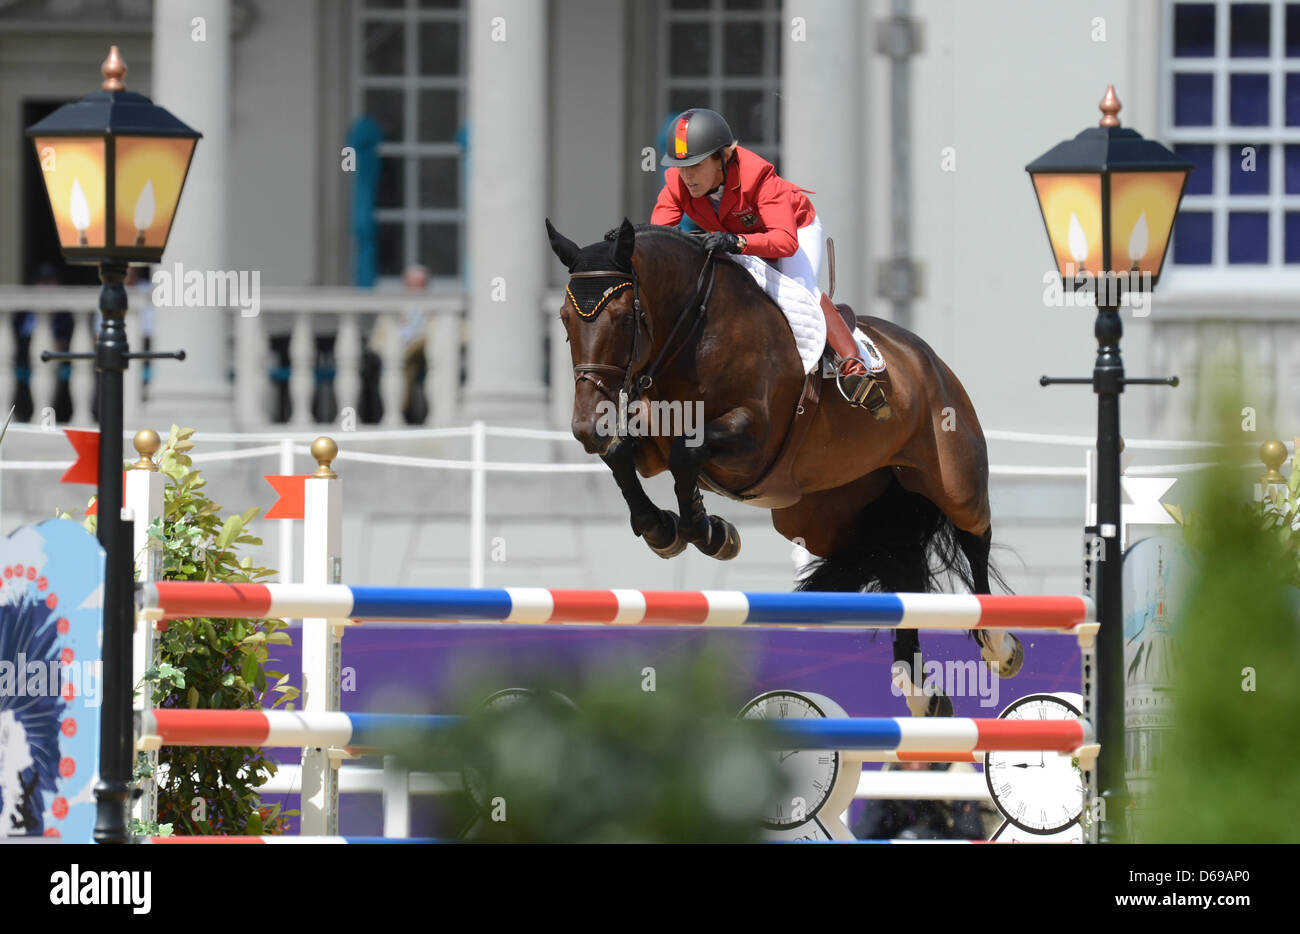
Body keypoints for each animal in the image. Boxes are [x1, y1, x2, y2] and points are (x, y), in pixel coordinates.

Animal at [545, 218, 1022, 715]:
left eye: (624, 318)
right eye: (564, 319)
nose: (585, 427)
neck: (690, 331)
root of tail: (925, 356)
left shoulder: (753, 439)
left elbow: (688, 453)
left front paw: (709, 533)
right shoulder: (651, 438)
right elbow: (623, 455)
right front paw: (665, 530)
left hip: (953, 477)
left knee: (974, 536)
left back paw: (998, 645)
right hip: (834, 513)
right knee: (900, 562)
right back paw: (920, 692)